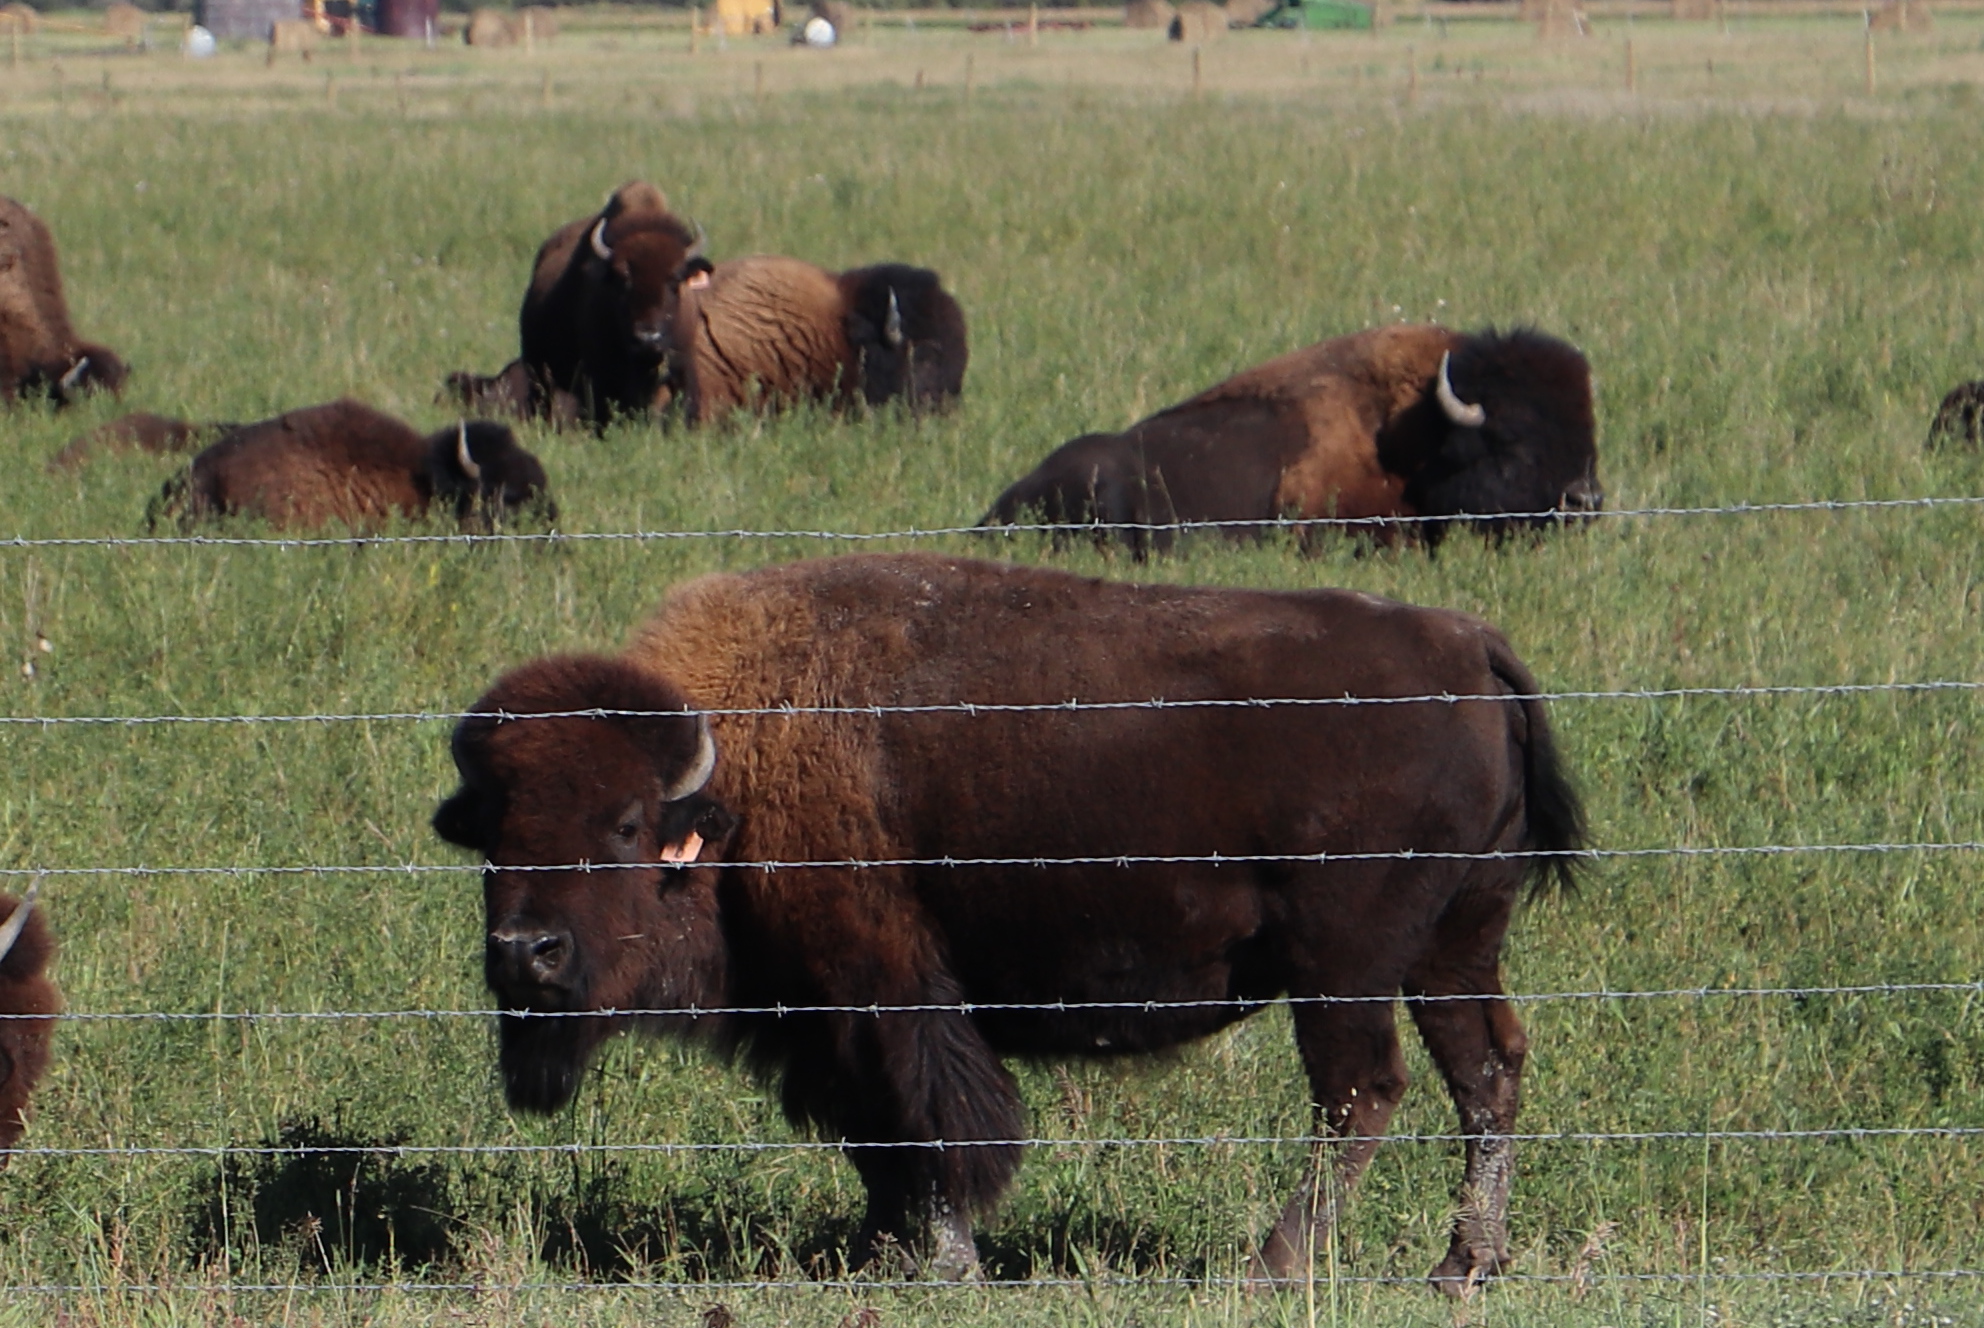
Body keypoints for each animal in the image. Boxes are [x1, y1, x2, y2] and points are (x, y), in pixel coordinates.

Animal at [434, 552, 1582, 1290]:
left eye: (625, 823)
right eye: (490, 830)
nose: (525, 951)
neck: (741, 774)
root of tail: (1466, 647)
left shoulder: (883, 985)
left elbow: (933, 1119)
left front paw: (942, 1263)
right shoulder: (823, 1018)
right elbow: (876, 1136)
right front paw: (880, 1252)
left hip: (1343, 963)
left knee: (1362, 1090)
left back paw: (1274, 1262)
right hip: (1455, 945)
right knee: (1486, 1071)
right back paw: (1463, 1263)